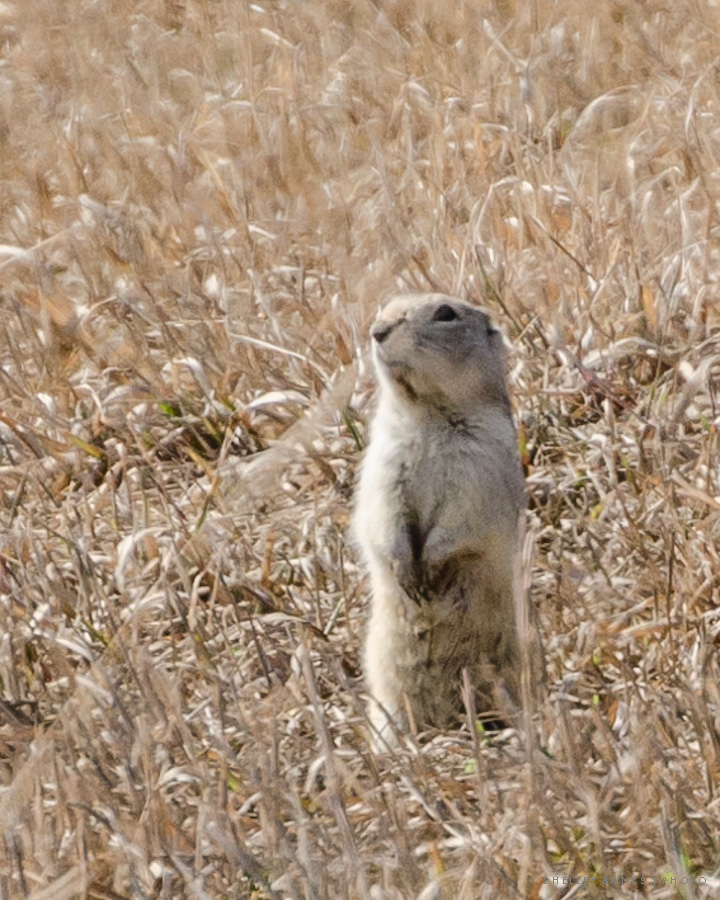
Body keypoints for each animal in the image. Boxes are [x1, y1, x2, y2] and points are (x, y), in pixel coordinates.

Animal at [353, 293, 526, 743]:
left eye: (446, 314)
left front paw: (429, 570)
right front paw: (407, 572)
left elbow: (461, 520)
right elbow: (383, 519)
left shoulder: (479, 467)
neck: (426, 414)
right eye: (385, 305)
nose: (376, 331)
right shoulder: (383, 468)